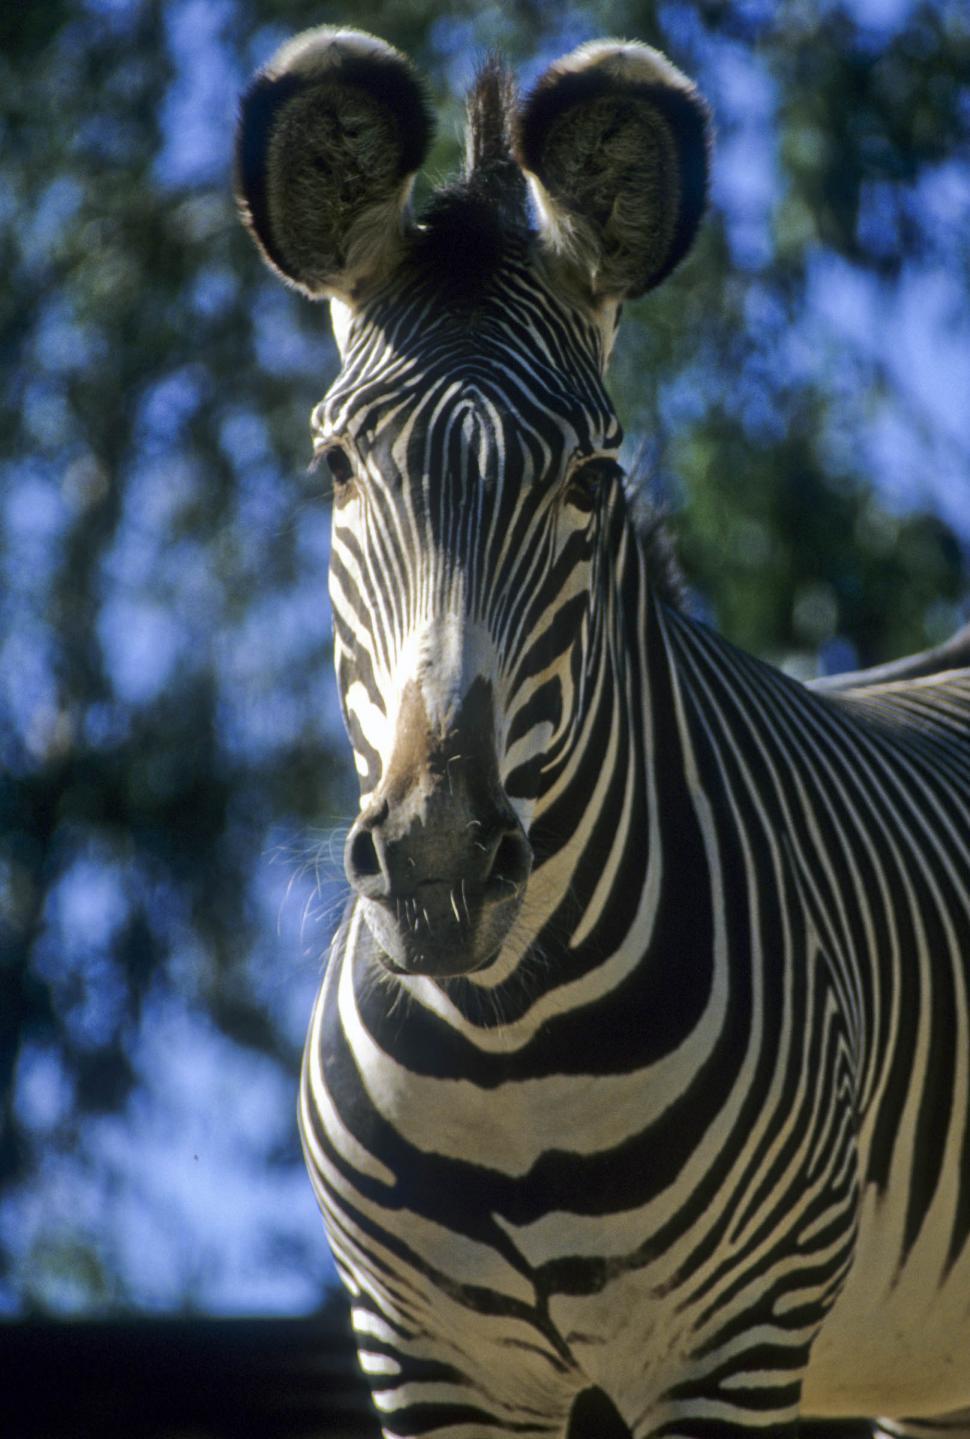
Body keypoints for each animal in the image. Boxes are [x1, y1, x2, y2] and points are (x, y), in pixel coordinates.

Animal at [236, 26, 970, 1439]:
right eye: (336, 468)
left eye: (592, 479)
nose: (439, 863)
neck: (505, 1055)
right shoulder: (423, 1361)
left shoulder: (736, 1344)